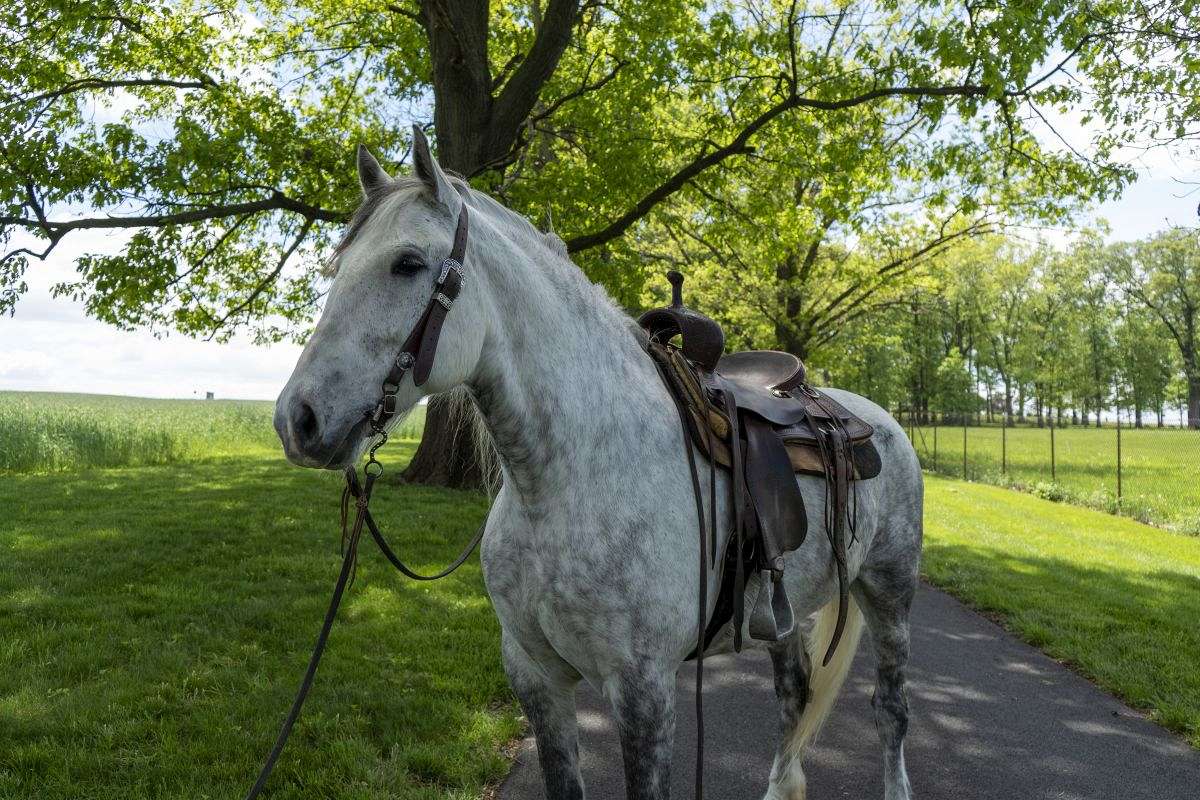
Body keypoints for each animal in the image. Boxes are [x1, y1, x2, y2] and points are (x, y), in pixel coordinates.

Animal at [274, 126, 923, 800]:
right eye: (336, 267)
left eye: (407, 263)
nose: (299, 420)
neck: (568, 482)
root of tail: (872, 417)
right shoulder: (537, 678)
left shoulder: (644, 691)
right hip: (787, 614)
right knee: (794, 698)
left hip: (889, 591)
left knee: (890, 709)